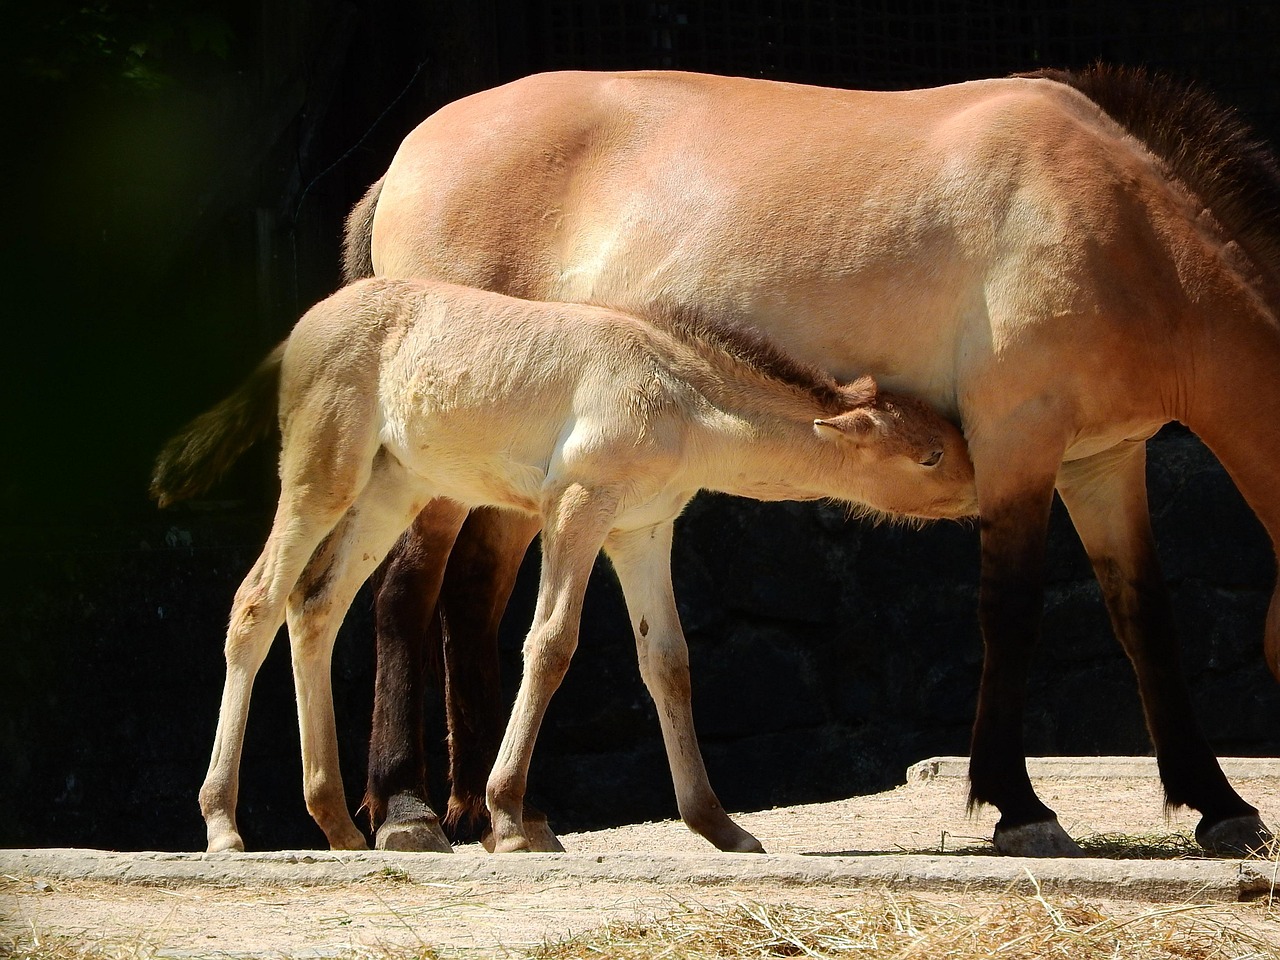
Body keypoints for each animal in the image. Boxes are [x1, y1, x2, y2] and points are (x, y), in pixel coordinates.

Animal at [152, 276, 976, 853]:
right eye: (931, 454)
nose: (985, 487)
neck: (679, 400)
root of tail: (299, 331)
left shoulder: (643, 531)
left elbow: (668, 662)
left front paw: (721, 826)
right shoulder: (577, 508)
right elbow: (550, 645)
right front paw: (512, 818)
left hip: (394, 488)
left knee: (316, 603)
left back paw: (337, 824)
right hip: (321, 473)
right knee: (257, 602)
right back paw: (224, 825)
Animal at [346, 63, 1280, 858]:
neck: (1113, 225)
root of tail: (405, 160)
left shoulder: (1104, 462)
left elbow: (1145, 620)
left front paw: (1221, 807)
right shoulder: (1021, 445)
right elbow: (1010, 614)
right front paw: (1019, 807)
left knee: (470, 600)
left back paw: (493, 811)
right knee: (405, 594)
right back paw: (408, 811)